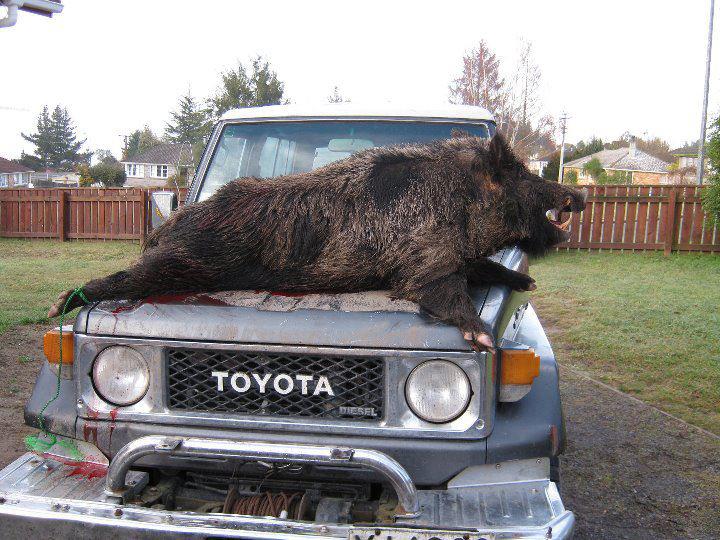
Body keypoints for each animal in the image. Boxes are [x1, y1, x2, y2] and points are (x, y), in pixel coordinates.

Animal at [49, 132, 586, 351]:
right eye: (519, 174)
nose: (576, 193)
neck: (458, 200)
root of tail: (168, 224)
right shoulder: (422, 264)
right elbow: (446, 293)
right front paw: (481, 337)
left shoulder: (461, 257)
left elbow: (488, 268)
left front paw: (525, 283)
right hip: (190, 260)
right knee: (128, 276)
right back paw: (59, 304)